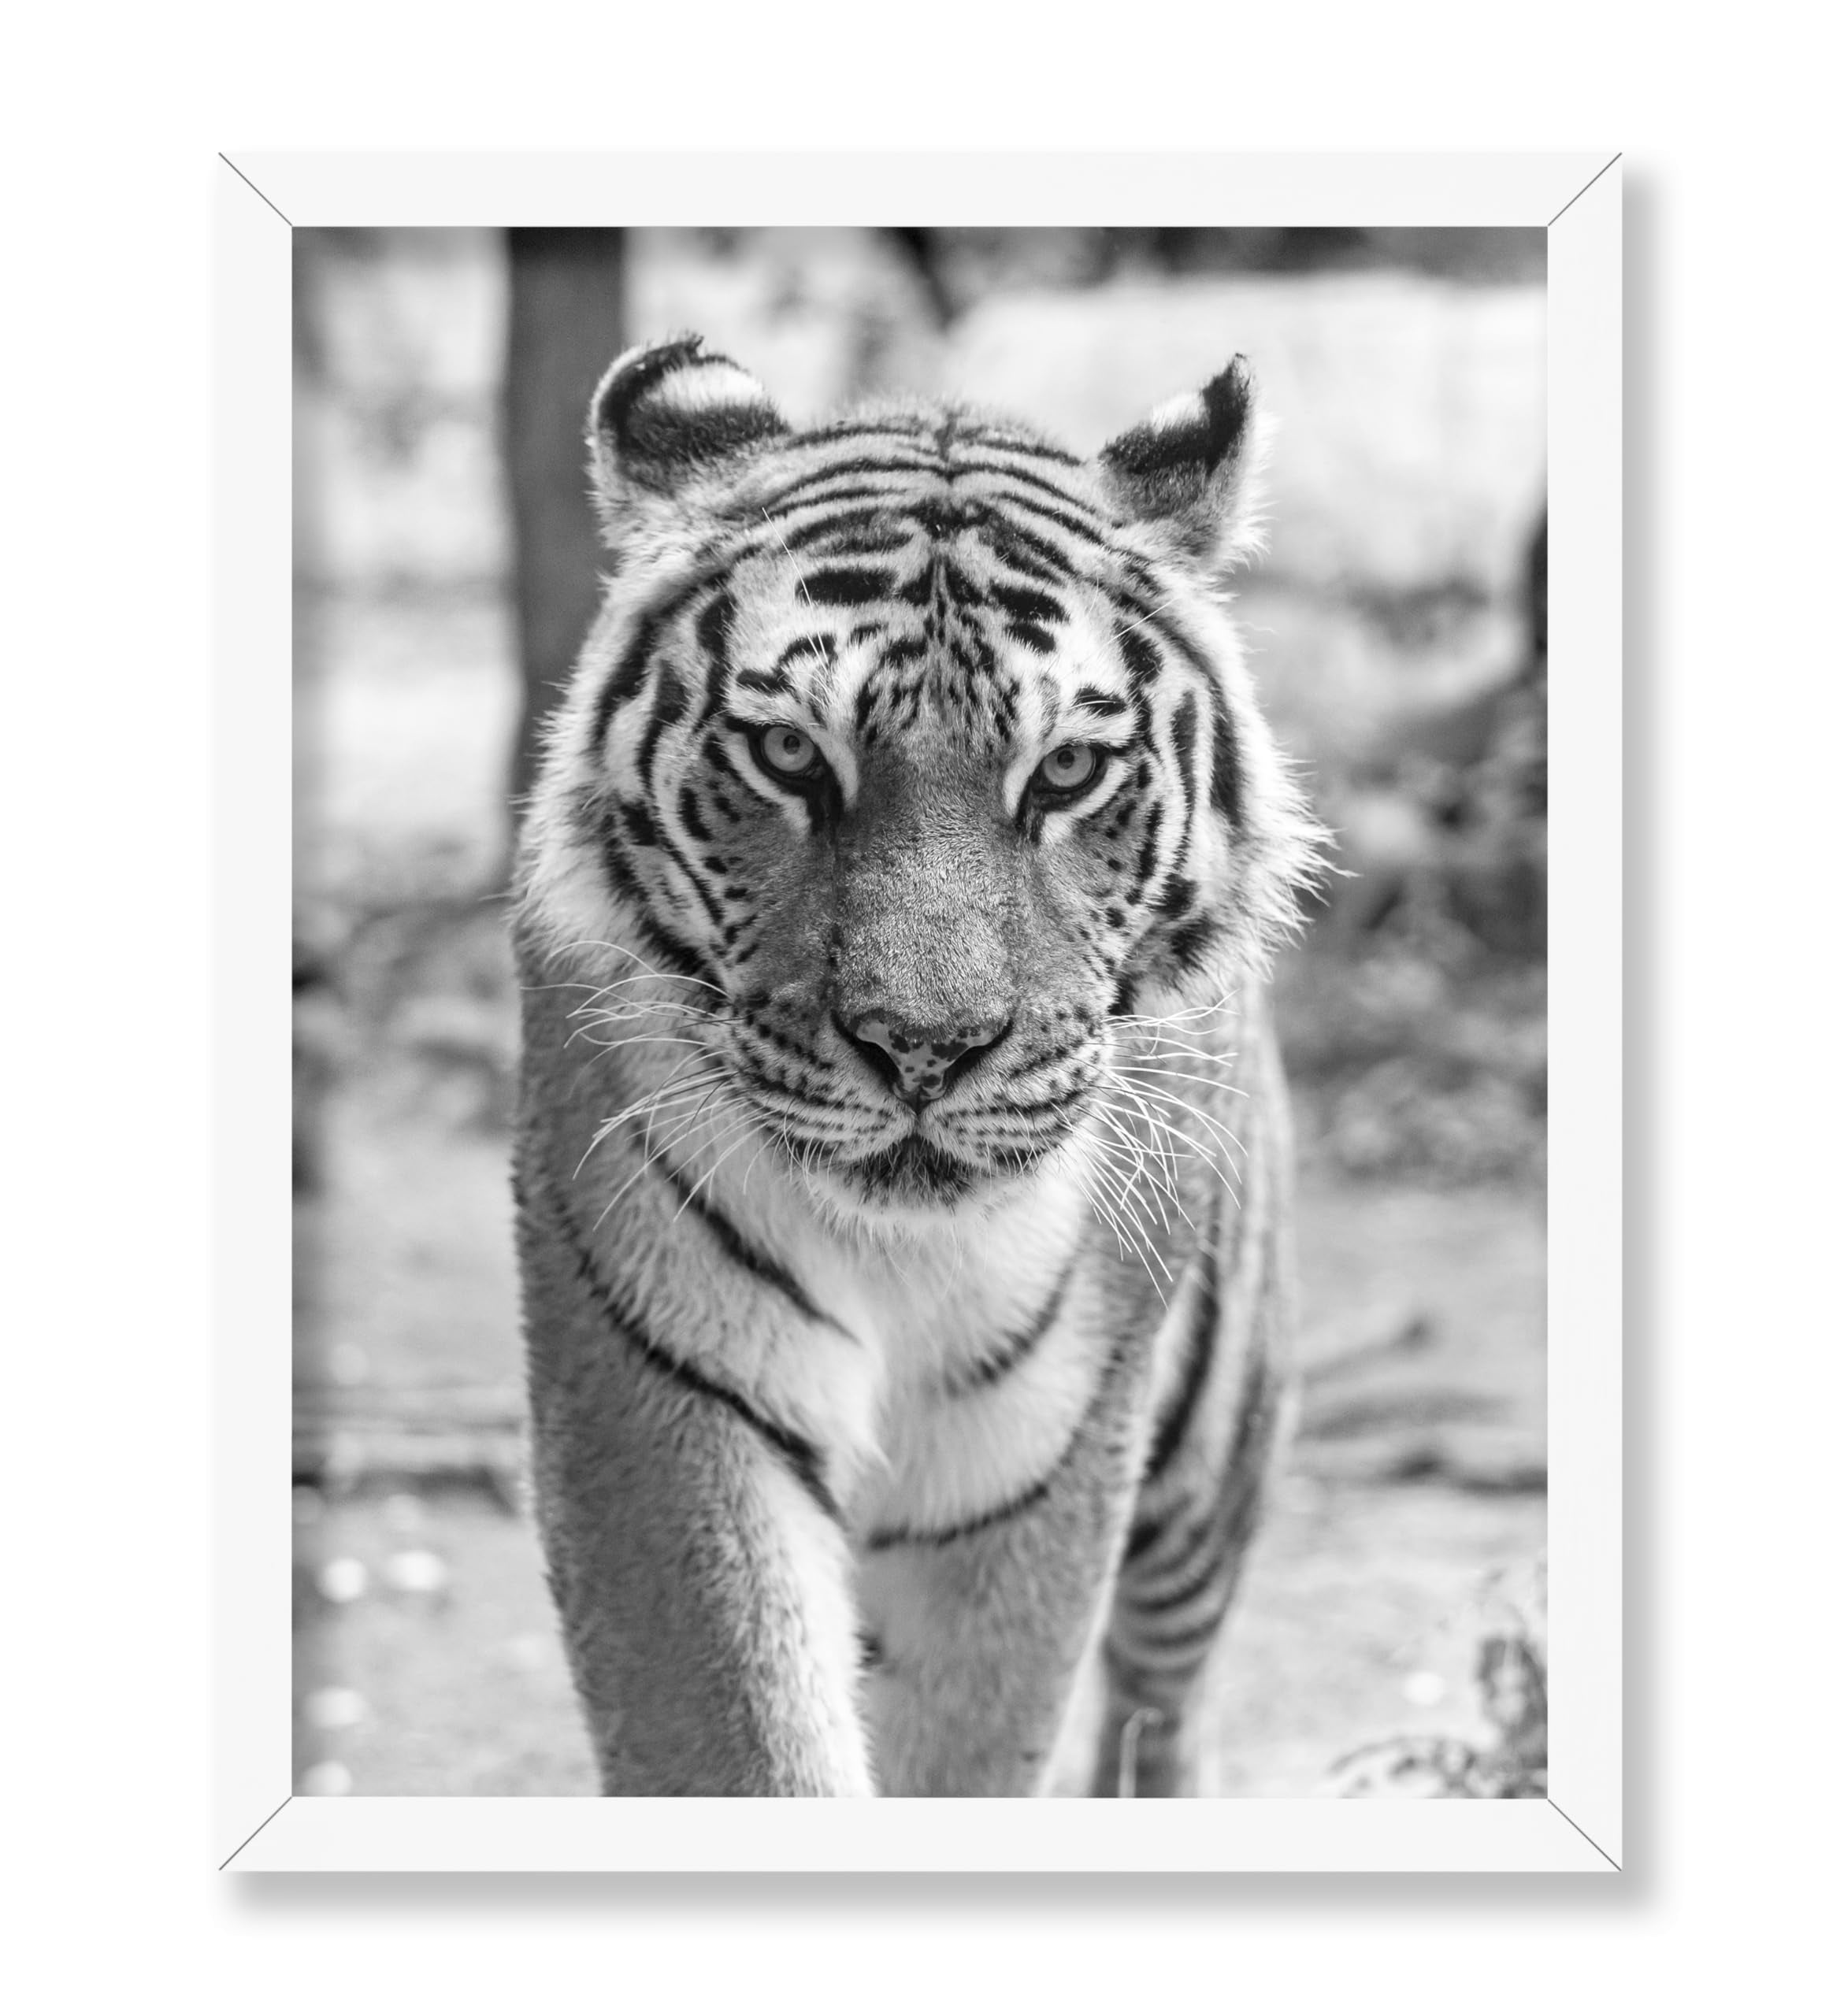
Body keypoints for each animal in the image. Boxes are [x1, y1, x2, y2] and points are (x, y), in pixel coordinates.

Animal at [512, 333, 1322, 1797]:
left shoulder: (1035, 1453)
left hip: (1210, 1449)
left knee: (1163, 1695)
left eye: (1065, 772)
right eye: (788, 754)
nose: (924, 1048)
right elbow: (743, 1735)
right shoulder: (665, 1392)